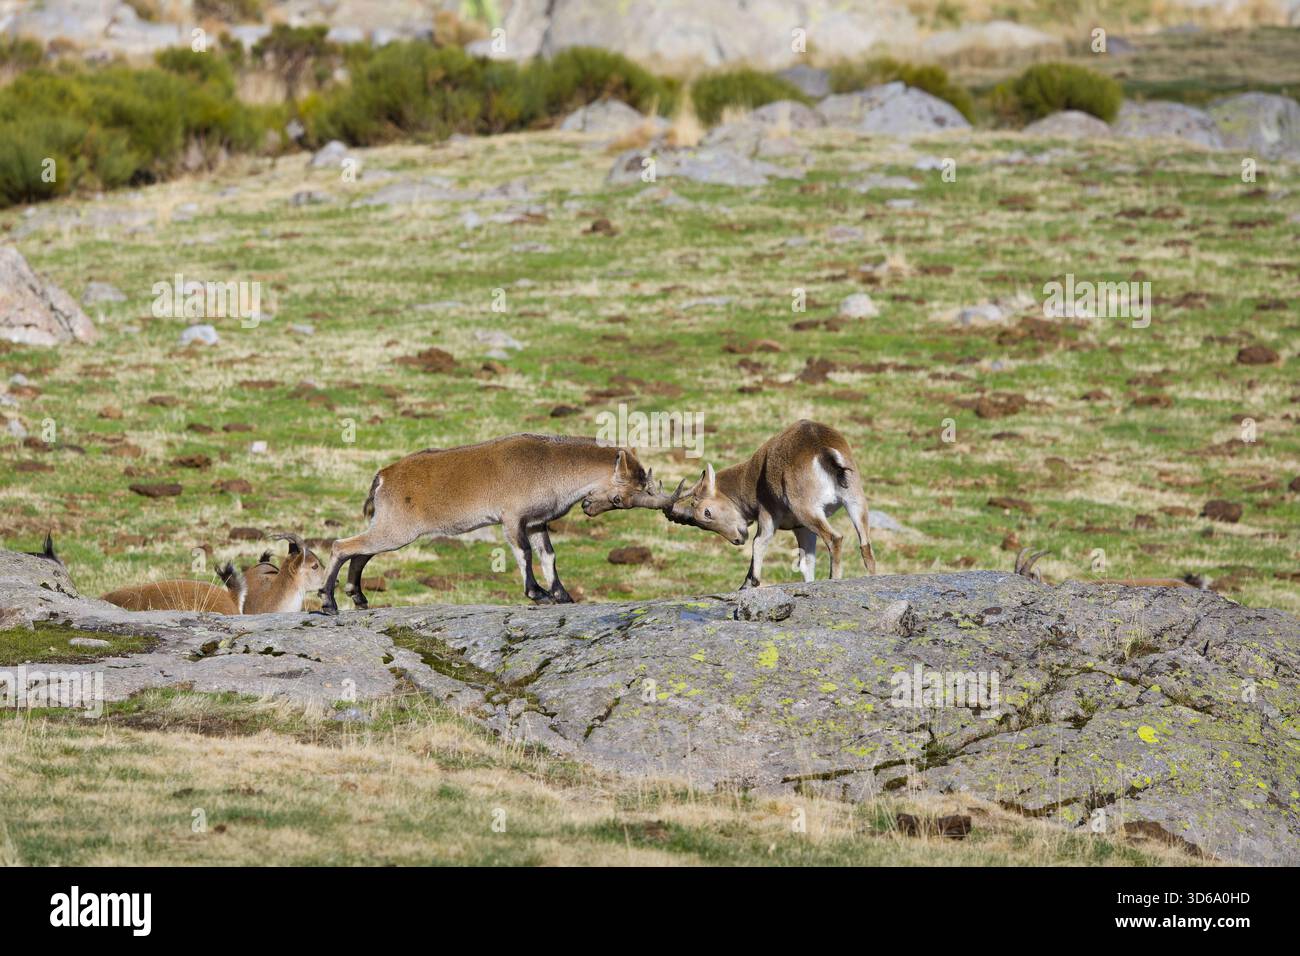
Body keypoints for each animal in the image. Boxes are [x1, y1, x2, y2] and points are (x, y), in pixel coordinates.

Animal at [318, 434, 672, 614]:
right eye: (619, 498)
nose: (589, 508)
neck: (553, 467)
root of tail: (384, 477)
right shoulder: (512, 518)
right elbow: (524, 553)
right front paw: (537, 594)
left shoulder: (537, 522)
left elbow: (548, 555)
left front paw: (562, 595)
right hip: (397, 529)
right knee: (342, 546)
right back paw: (328, 601)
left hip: (389, 528)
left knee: (360, 553)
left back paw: (359, 598)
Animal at [661, 420, 876, 589]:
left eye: (707, 512)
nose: (737, 539)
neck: (751, 477)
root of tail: (822, 450)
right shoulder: (801, 528)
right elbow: (806, 562)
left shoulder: (768, 513)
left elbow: (758, 542)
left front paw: (753, 581)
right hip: (854, 499)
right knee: (866, 547)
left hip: (806, 509)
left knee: (835, 538)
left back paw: (834, 578)